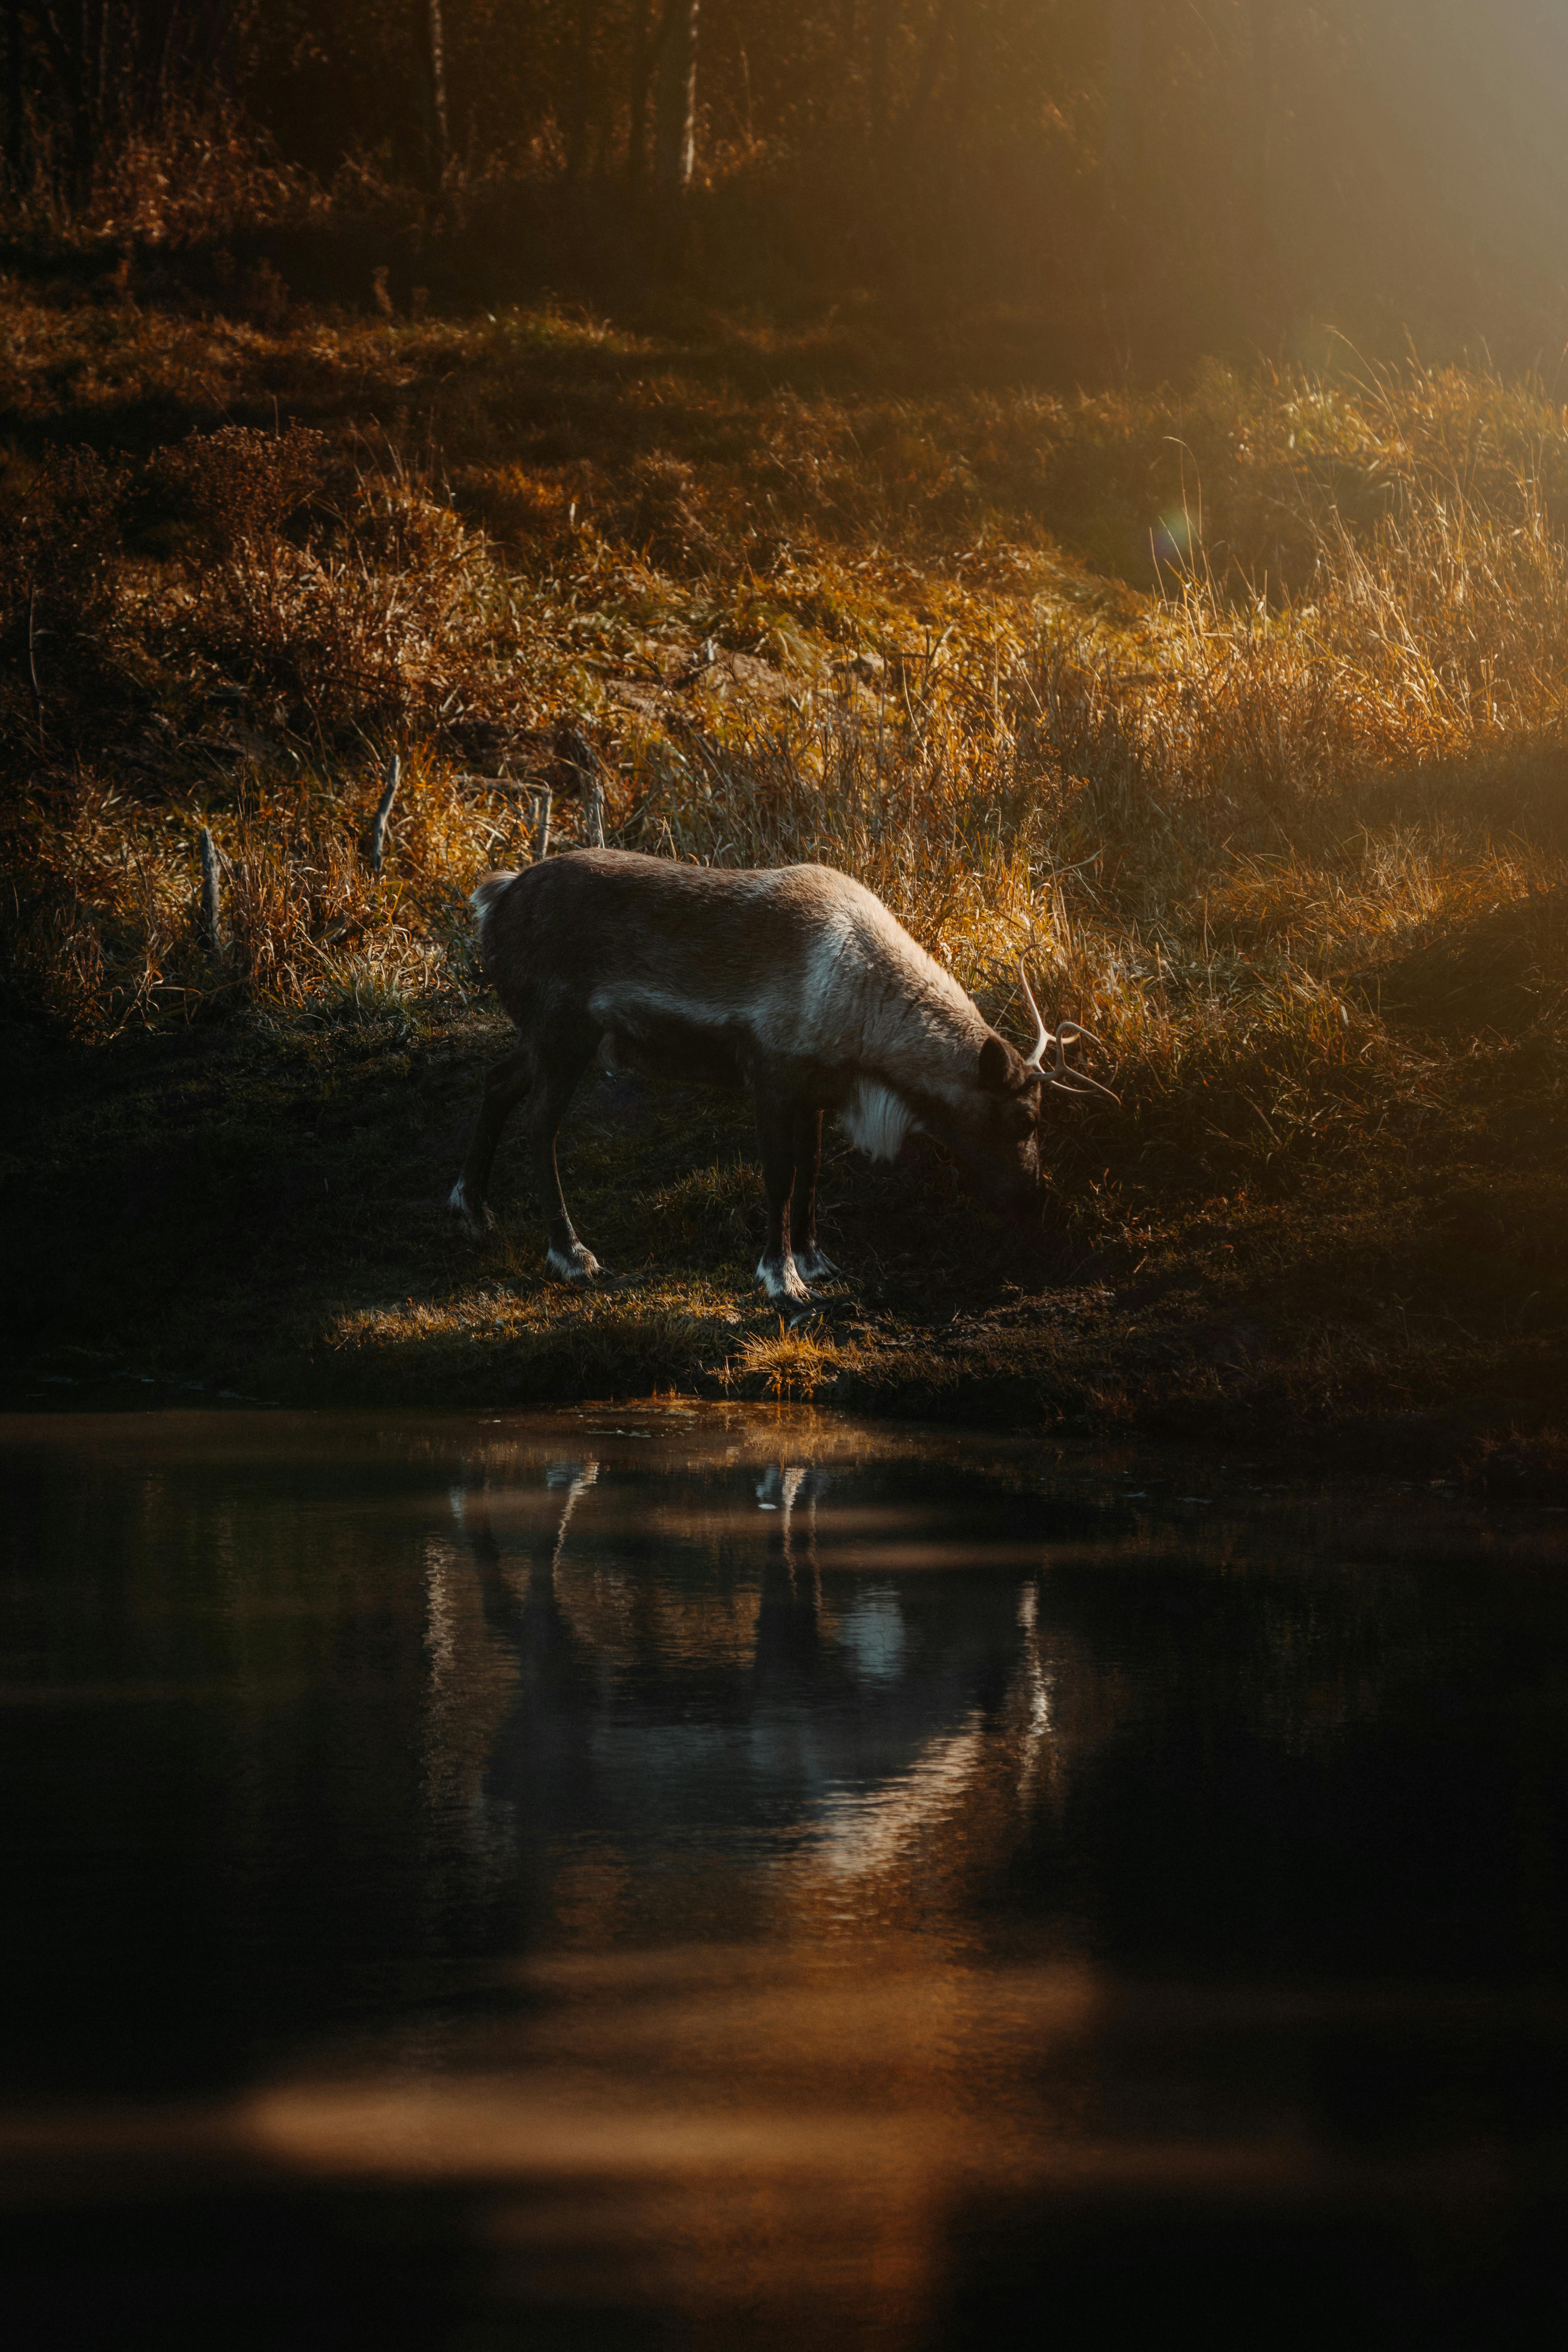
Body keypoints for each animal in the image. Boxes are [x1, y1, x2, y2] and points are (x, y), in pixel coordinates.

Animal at [449, 849, 1112, 1304]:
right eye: (1023, 1117)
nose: (1035, 1195)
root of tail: (493, 900)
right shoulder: (770, 1077)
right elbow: (780, 1178)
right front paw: (782, 1278)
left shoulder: (816, 1091)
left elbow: (813, 1174)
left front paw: (816, 1260)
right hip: (564, 1033)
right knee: (541, 1125)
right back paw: (572, 1254)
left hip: (544, 1038)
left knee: (496, 1080)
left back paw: (473, 1209)